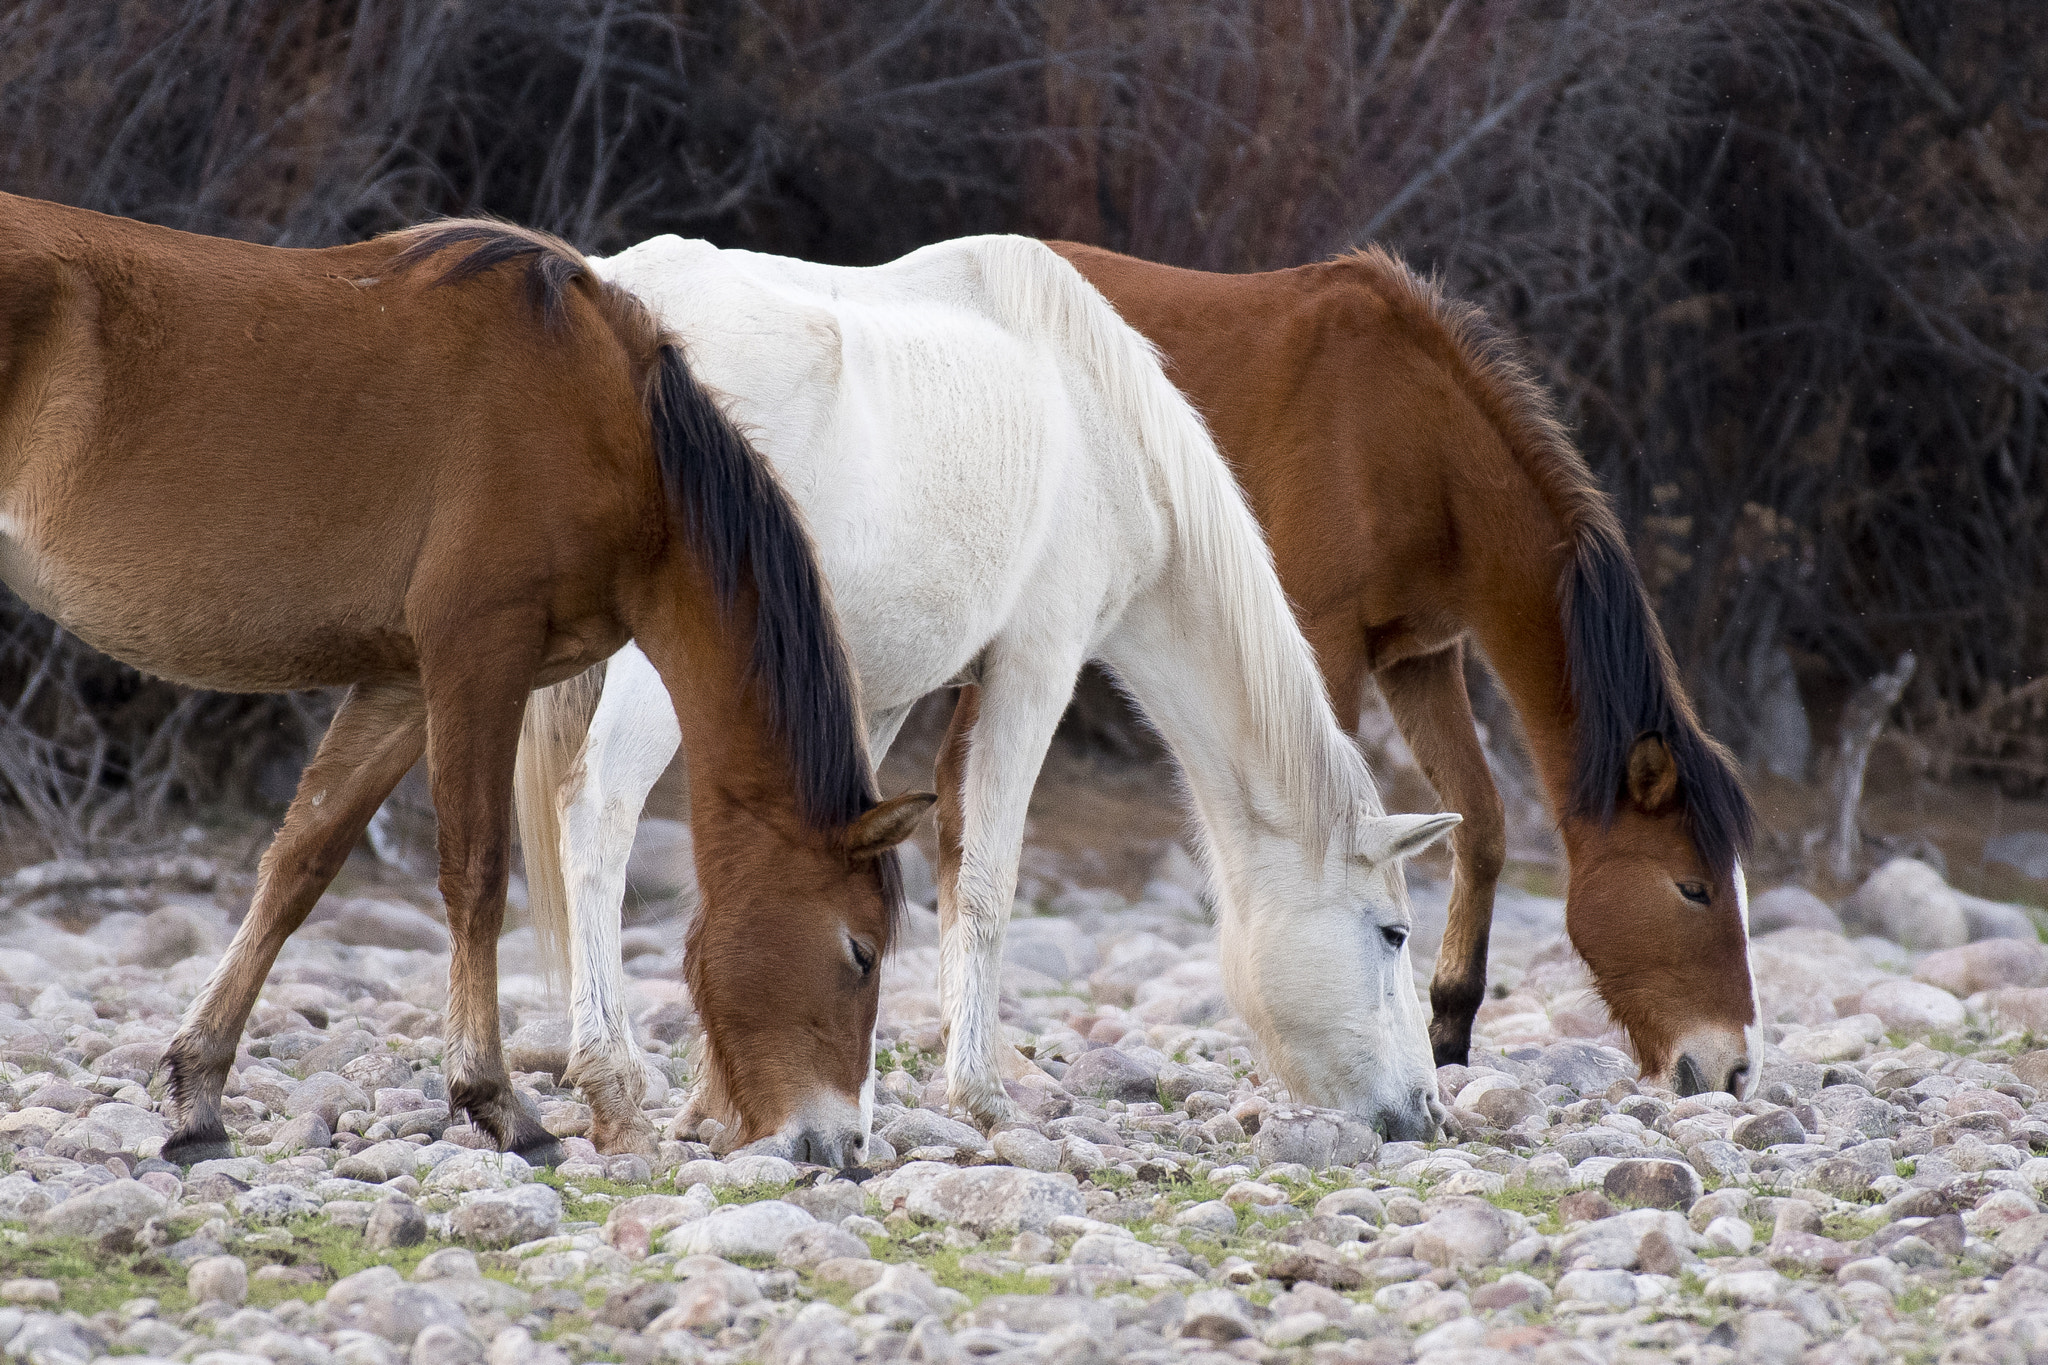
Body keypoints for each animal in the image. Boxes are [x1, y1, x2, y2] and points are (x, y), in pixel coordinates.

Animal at [0, 197, 921, 1170]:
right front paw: (498, 1101)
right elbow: (476, 874)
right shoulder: (479, 653)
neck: (611, 425)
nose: (843, 1142)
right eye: (861, 952)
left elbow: (300, 863)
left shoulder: (404, 681)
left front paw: (198, 1090)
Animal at [512, 232, 1458, 1154]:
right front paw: (982, 1097)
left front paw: (721, 1102)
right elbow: (986, 880)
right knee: (598, 809)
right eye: (1394, 932)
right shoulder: (1036, 668)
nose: (1427, 1109)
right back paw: (610, 1078)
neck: (1097, 423)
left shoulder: (879, 693)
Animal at [942, 242, 1761, 1096]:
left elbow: (1484, 824)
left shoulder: (1419, 659)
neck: (1413, 442)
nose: (1735, 1069)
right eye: (1693, 888)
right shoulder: (1320, 643)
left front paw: (1449, 1031)